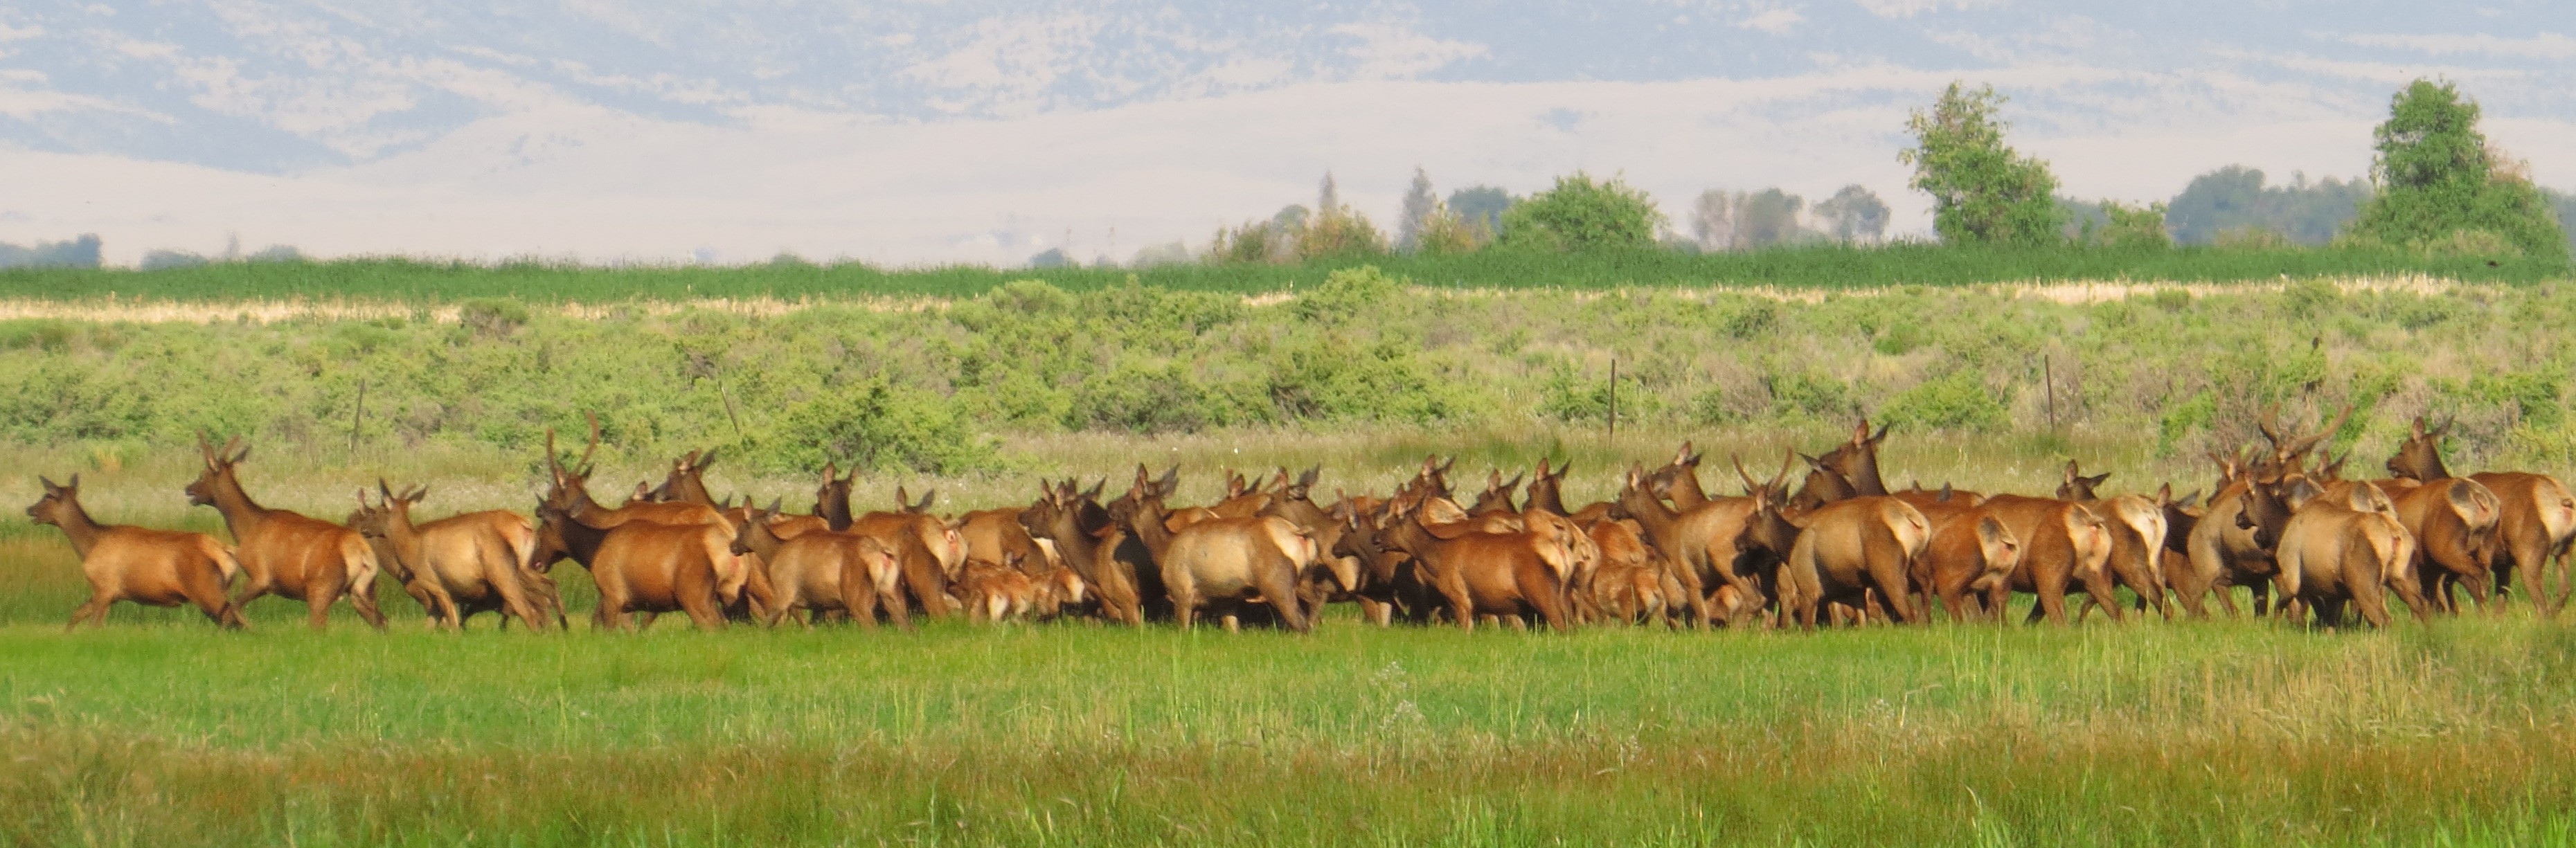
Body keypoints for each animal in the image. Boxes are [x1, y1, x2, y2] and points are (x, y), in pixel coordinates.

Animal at [30, 474, 245, 630]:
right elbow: (77, 615)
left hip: (205, 588)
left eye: (47, 496)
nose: (29, 510)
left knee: (233, 620)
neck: (90, 545)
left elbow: (93, 626)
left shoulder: (103, 586)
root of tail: (224, 551)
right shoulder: (113, 594)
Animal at [184, 435, 388, 631]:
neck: (245, 529)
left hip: (321, 587)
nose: (188, 489)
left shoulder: (260, 577)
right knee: (381, 621)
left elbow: (232, 610)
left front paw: (251, 629)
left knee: (320, 626)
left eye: (202, 475)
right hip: (363, 590)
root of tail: (361, 550)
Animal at [351, 481, 562, 631]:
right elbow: (432, 625)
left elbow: (451, 625)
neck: (409, 549)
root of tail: (526, 525)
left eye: (376, 512)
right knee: (547, 591)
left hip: (505, 573)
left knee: (528, 607)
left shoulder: (435, 587)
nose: (364, 530)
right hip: (527, 568)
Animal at [729, 500, 906, 629]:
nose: (732, 546)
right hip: (891, 592)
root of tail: (881, 554)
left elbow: (768, 625)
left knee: (872, 627)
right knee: (905, 624)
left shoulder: (783, 591)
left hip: (856, 595)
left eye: (740, 529)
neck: (773, 554)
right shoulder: (817, 603)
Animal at [2385, 416, 2574, 614]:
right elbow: (2499, 601)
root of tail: (2563, 500)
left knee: (2541, 603)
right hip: (2565, 549)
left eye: (2402, 448)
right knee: (2564, 591)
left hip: (2529, 550)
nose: (2389, 462)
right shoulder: (2502, 564)